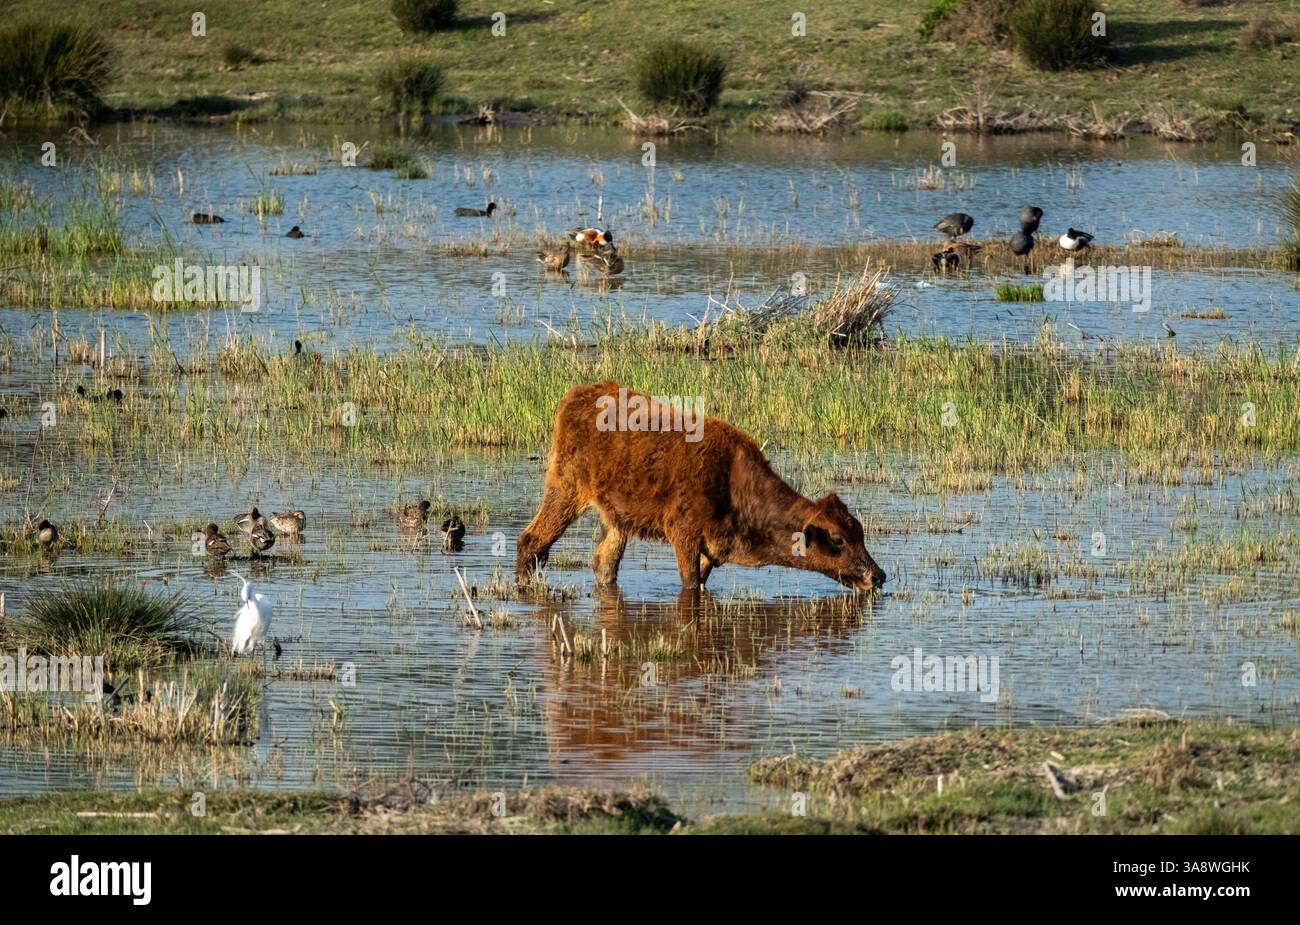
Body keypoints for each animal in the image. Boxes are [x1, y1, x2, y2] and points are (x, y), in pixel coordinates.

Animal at [516, 381, 887, 592]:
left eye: (860, 533)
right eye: (838, 539)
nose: (878, 576)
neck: (733, 479)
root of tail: (580, 395)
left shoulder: (712, 550)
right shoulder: (684, 535)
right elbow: (690, 584)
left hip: (616, 521)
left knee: (605, 563)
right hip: (566, 492)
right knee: (532, 540)